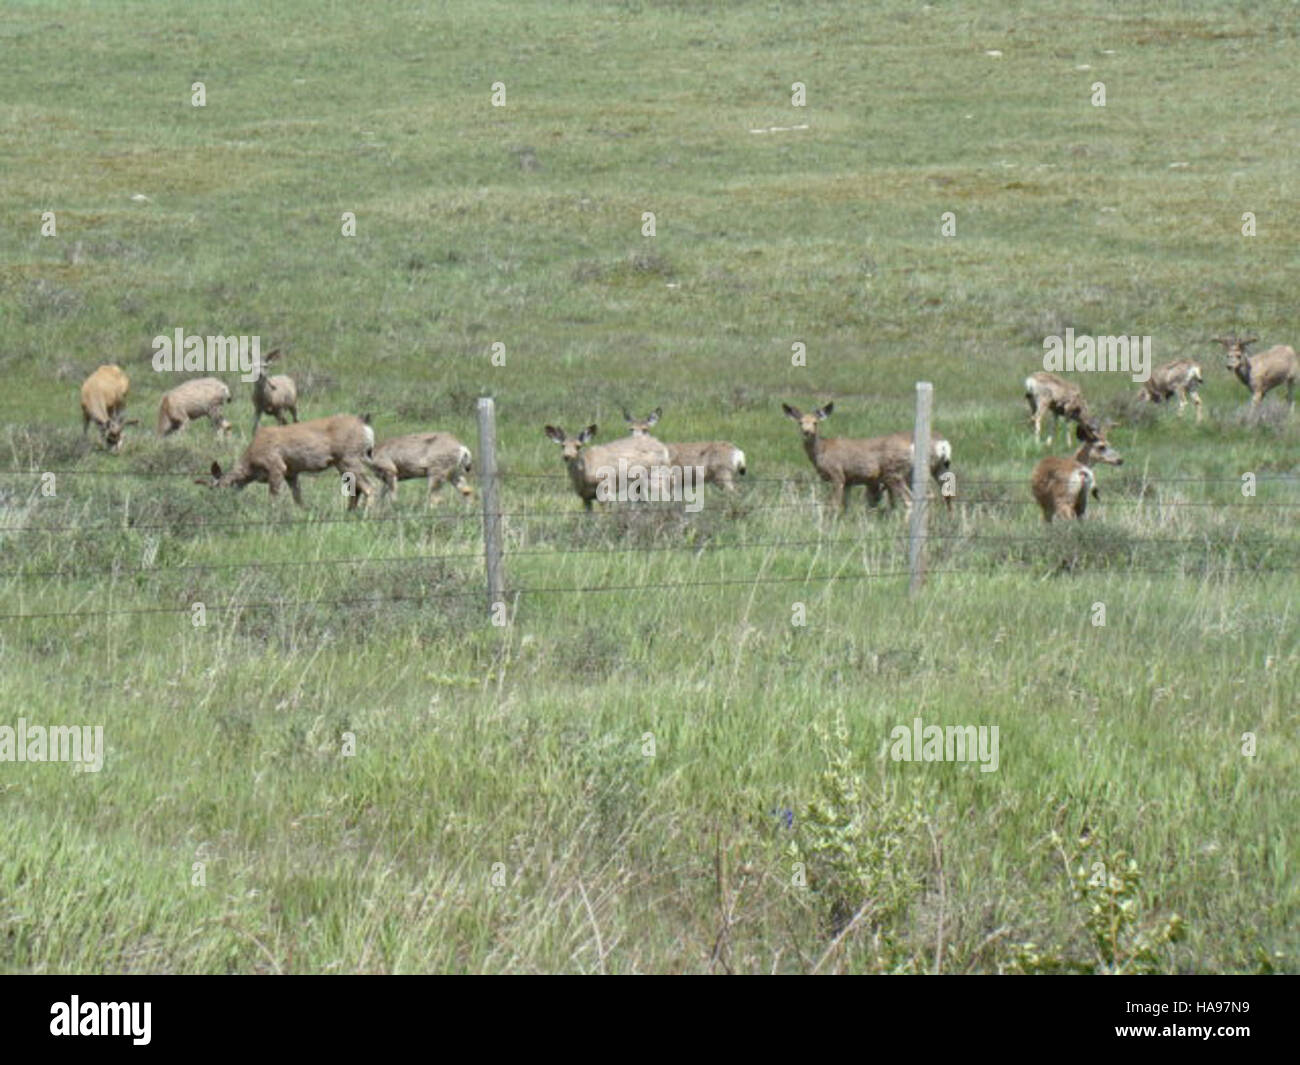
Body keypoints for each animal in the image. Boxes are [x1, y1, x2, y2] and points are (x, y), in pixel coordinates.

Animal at [196, 414, 374, 509]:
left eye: (220, 488)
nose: (219, 504)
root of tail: (366, 429)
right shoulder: (291, 473)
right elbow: (298, 498)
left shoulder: (276, 466)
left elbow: (273, 498)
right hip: (343, 463)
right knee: (357, 489)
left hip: (349, 458)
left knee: (369, 488)